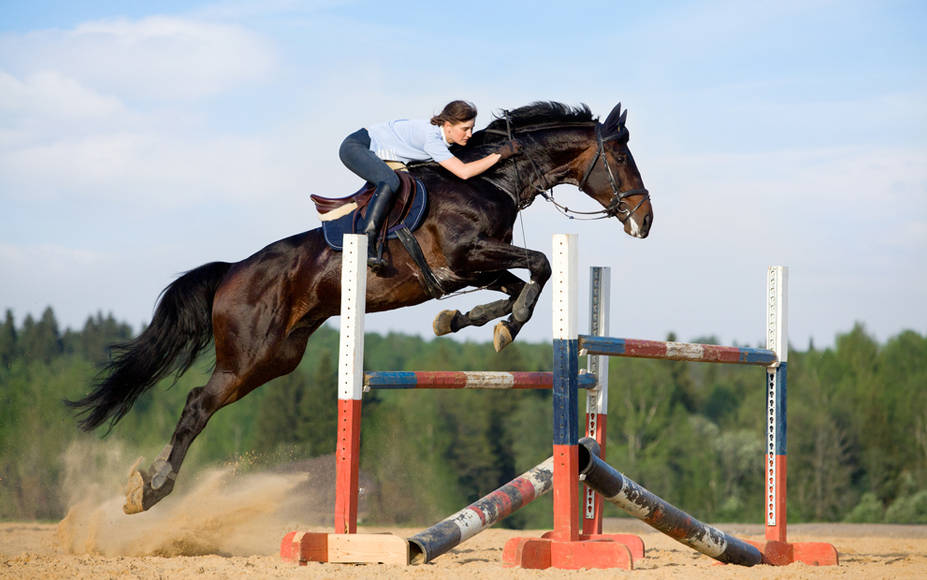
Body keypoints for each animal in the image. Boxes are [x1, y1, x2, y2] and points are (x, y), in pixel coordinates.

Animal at [66, 101, 653, 514]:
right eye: (621, 158)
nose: (645, 221)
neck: (489, 179)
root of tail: (232, 271)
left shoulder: (474, 268)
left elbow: (518, 285)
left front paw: (465, 321)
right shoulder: (466, 256)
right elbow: (542, 265)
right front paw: (501, 327)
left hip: (279, 358)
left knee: (207, 402)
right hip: (247, 356)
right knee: (196, 406)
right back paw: (152, 489)